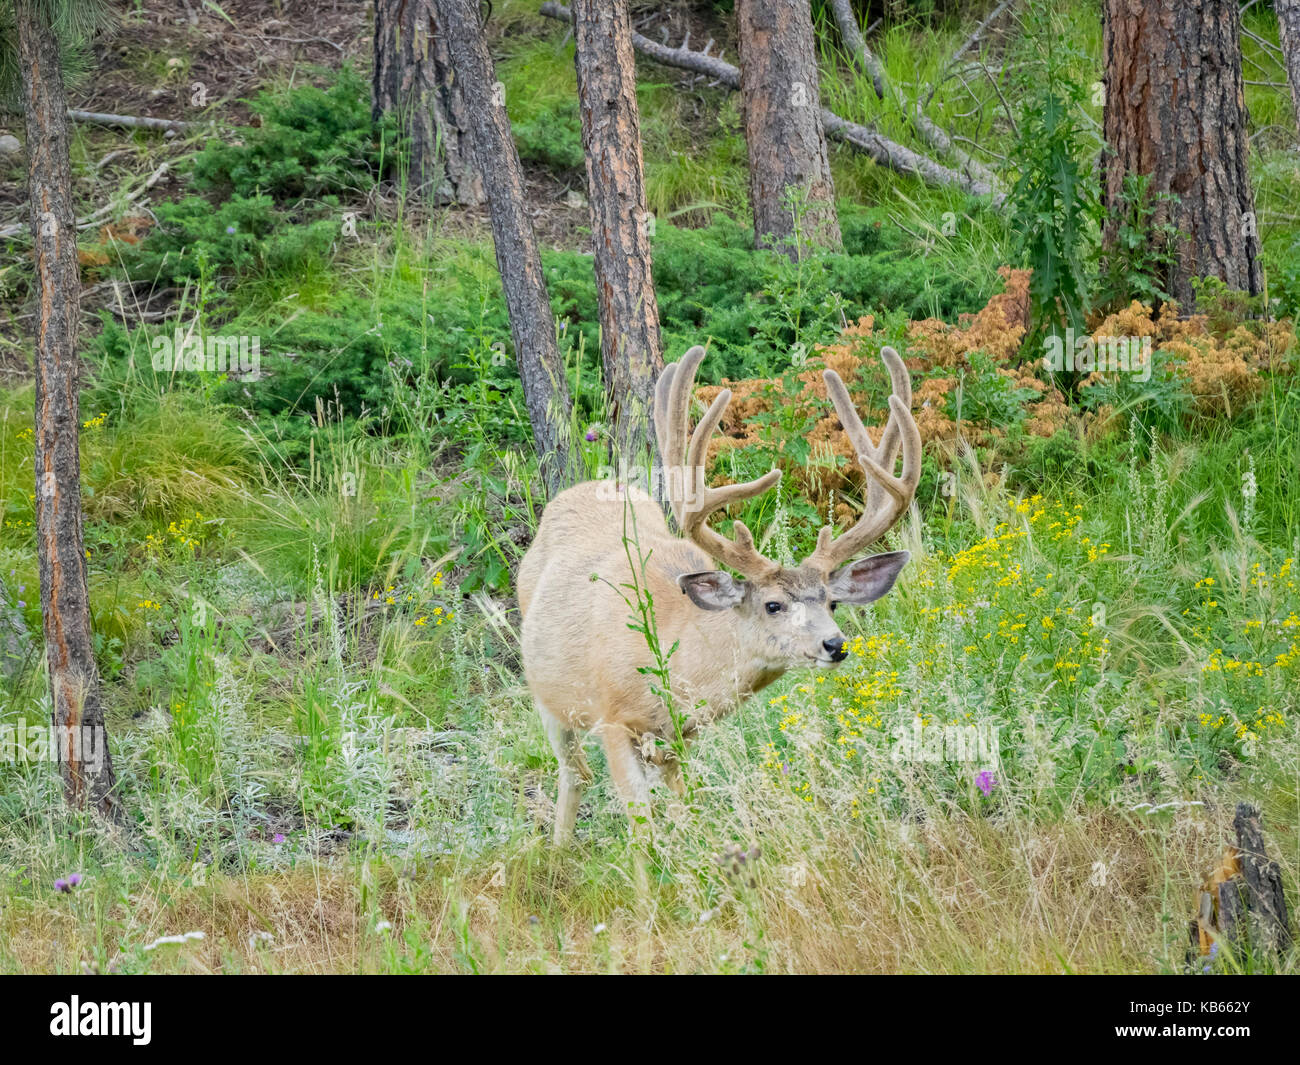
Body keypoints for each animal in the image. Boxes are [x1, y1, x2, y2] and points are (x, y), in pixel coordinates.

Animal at [516, 344, 921, 844]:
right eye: (772, 604)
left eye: (832, 602)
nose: (835, 644)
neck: (670, 650)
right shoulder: (611, 717)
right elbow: (642, 829)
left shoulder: (679, 736)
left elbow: (687, 802)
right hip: (548, 695)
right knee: (574, 773)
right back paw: (557, 849)